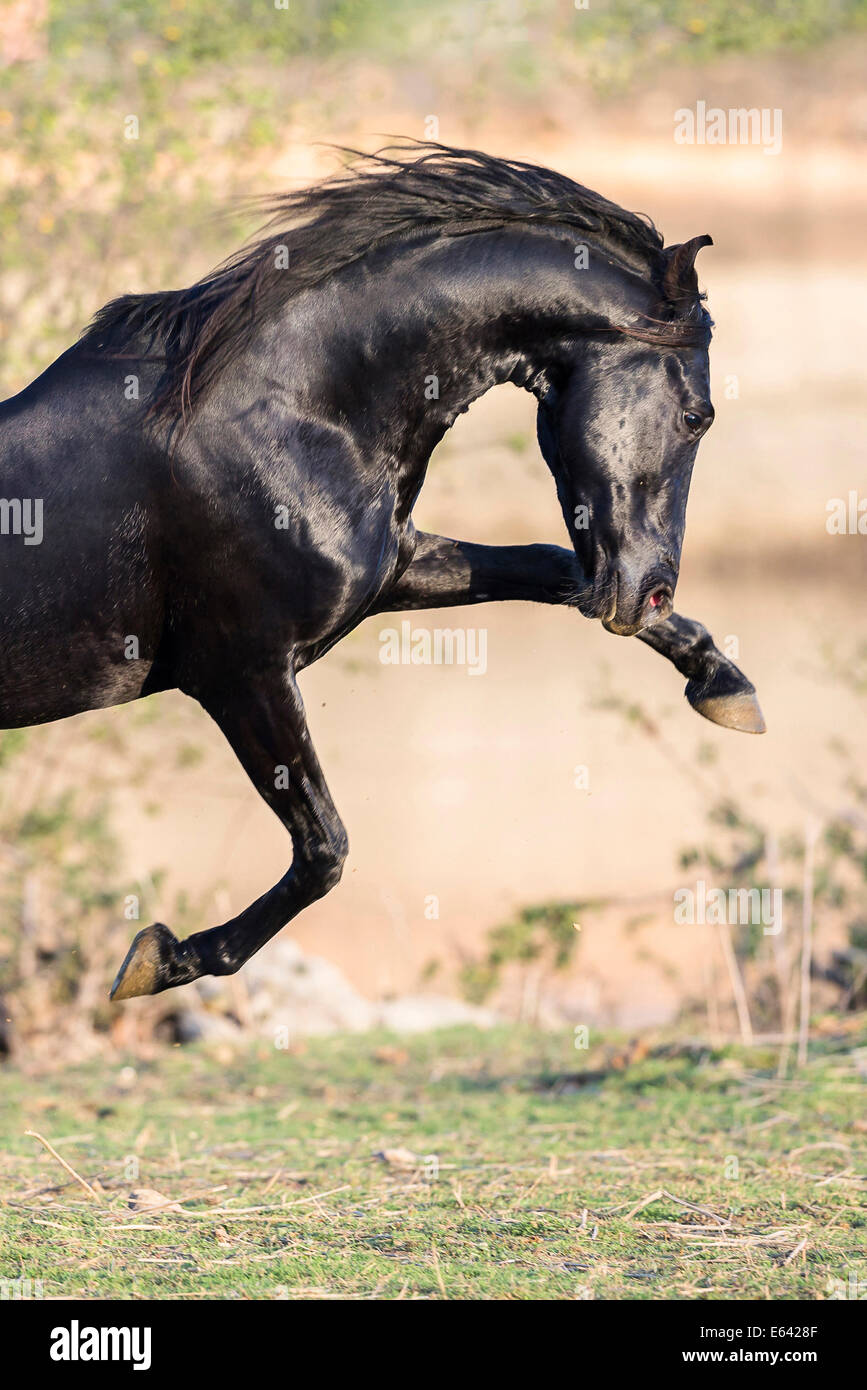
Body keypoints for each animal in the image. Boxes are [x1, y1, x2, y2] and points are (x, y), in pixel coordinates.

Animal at [0, 142, 764, 1002]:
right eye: (698, 415)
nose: (647, 590)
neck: (287, 412)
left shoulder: (389, 573)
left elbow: (544, 565)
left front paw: (722, 682)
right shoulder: (241, 674)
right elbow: (324, 850)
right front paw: (159, 959)